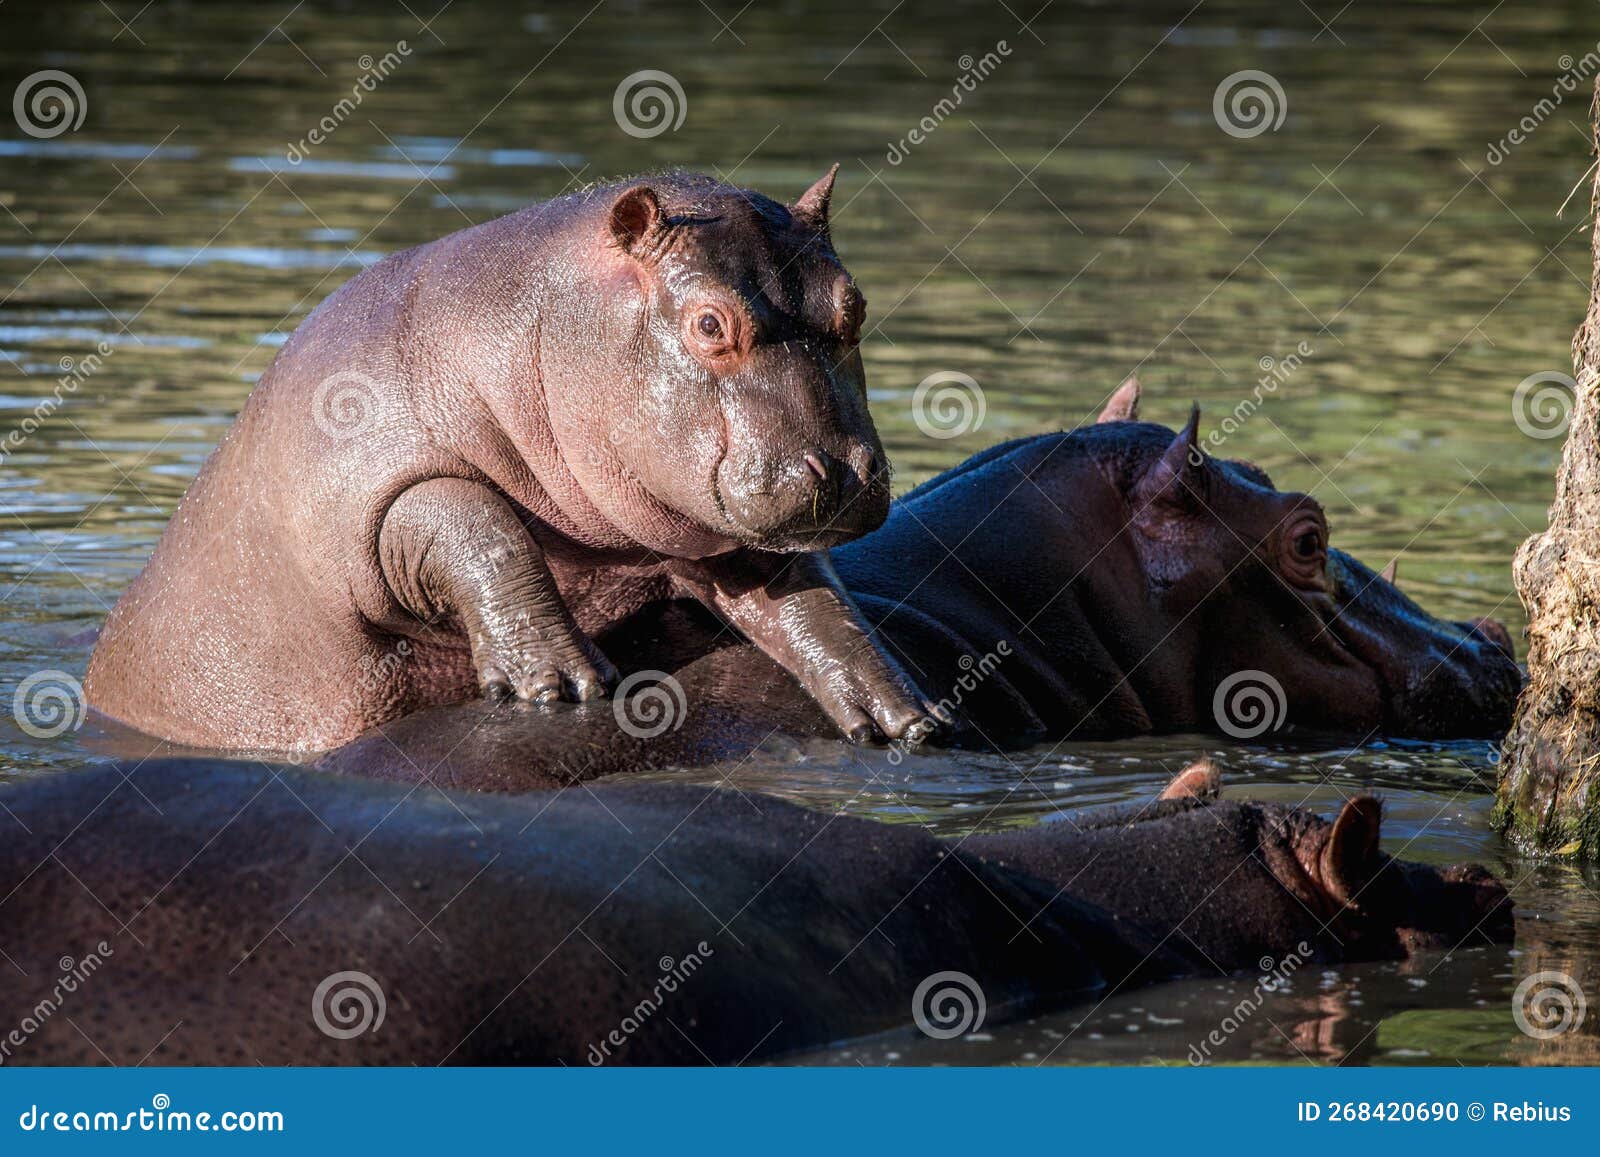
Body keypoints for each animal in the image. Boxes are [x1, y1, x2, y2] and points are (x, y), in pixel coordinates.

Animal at [84, 169, 936, 753]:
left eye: (855, 305)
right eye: (708, 322)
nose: (844, 473)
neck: (536, 320)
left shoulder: (714, 526)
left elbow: (808, 602)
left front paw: (907, 712)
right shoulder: (374, 488)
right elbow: (480, 526)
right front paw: (563, 683)